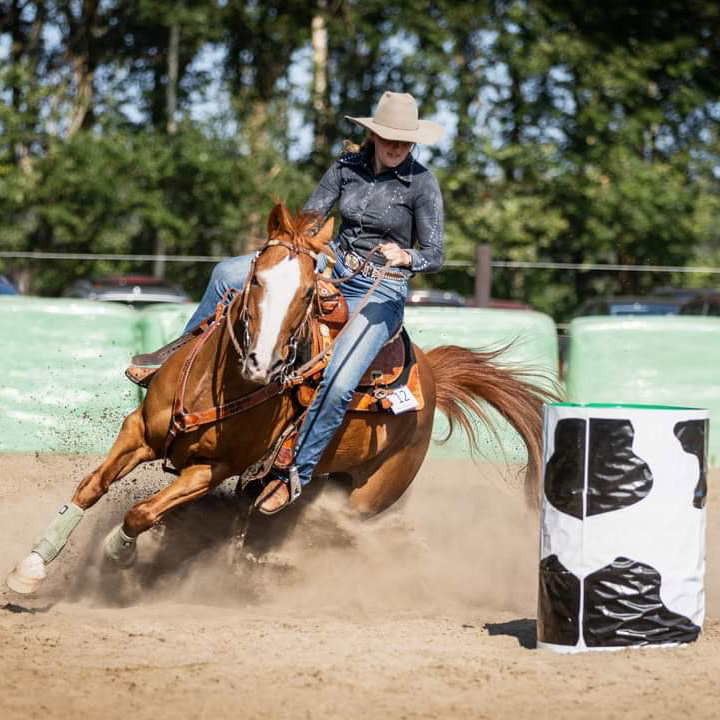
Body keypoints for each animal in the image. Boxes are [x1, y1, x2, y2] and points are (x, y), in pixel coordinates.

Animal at [6, 202, 554, 595]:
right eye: (256, 278)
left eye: (309, 292)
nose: (261, 364)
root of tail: (432, 371)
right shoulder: (138, 430)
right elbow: (90, 486)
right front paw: (32, 567)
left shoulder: (212, 471)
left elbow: (140, 512)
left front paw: (118, 555)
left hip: (368, 496)